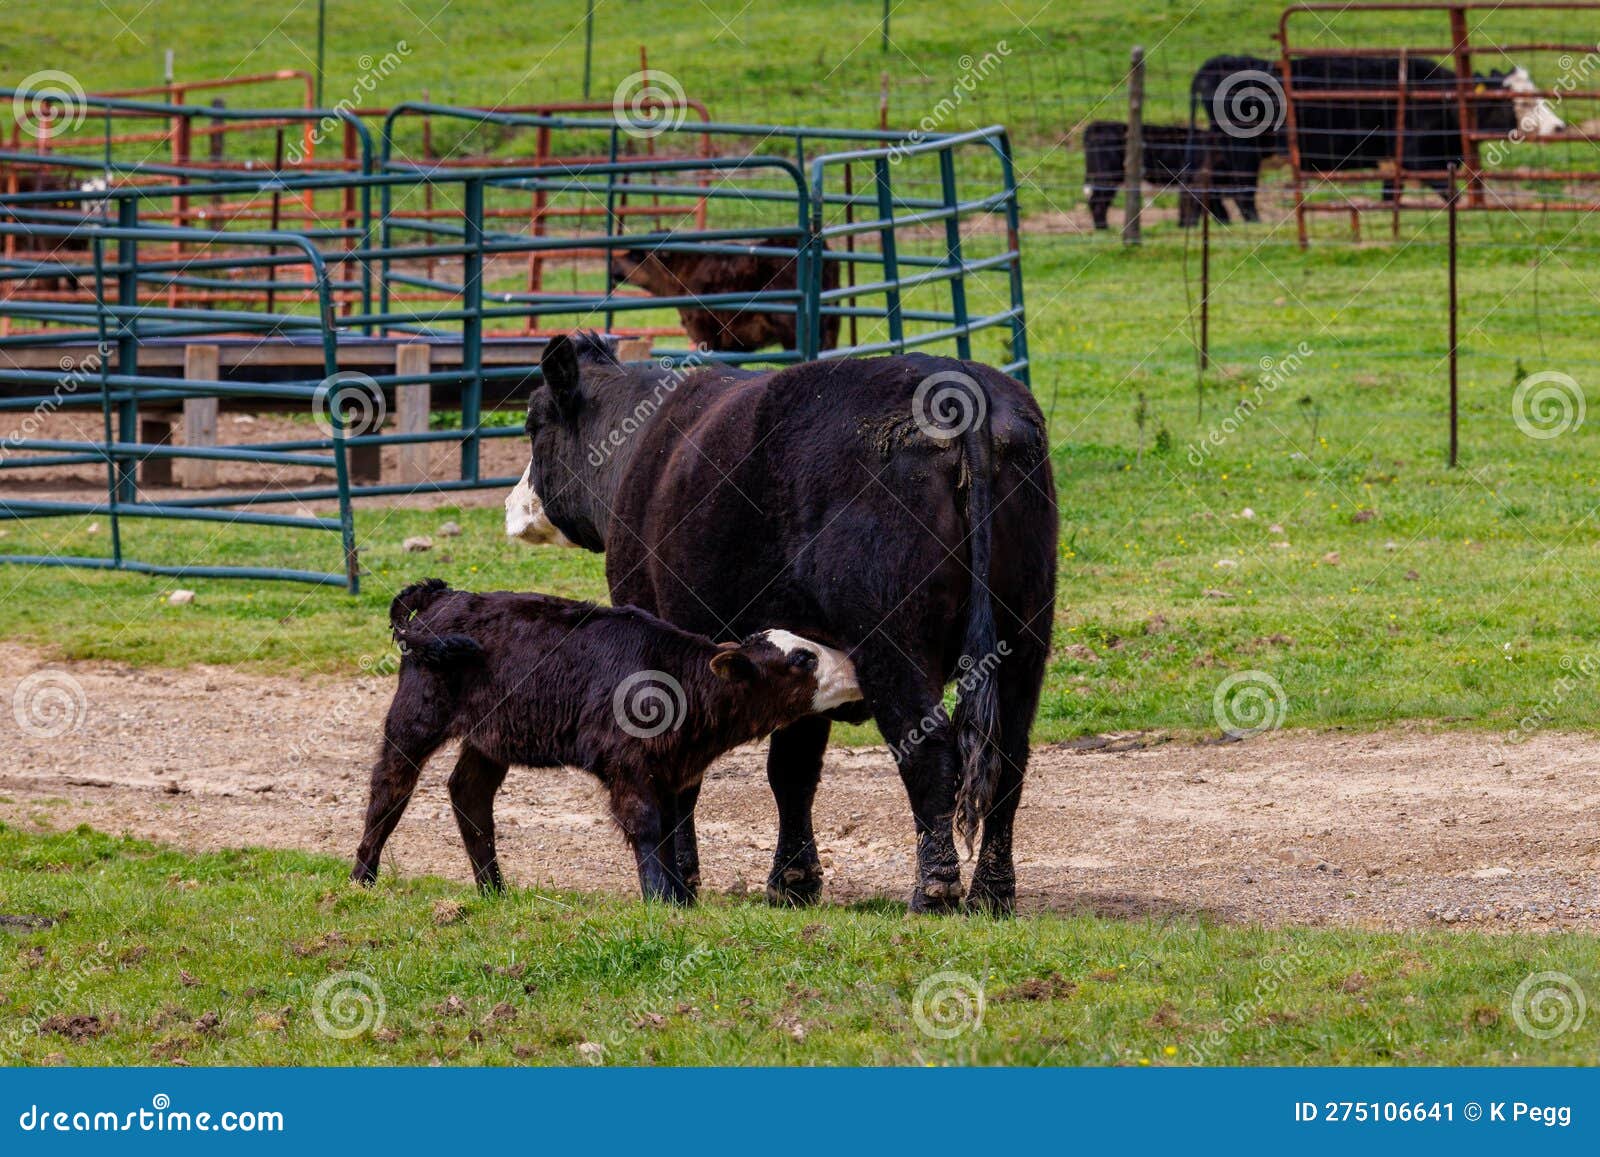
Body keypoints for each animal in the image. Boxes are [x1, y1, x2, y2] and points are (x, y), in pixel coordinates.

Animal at [351, 578, 862, 903]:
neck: (678, 679)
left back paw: (494, 890)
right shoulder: (627, 765)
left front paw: (681, 897)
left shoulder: (670, 772)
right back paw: (362, 878)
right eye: (802, 658)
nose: (853, 663)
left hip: (489, 738)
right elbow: (646, 825)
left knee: (469, 795)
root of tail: (445, 595)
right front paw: (661, 899)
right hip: (416, 716)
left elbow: (671, 828)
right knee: (390, 787)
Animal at [507, 333, 1058, 913]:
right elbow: (793, 770)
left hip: (895, 646)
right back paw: (992, 893)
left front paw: (683, 877)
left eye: (533, 423)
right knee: (1007, 760)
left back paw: (934, 890)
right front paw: (793, 880)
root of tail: (958, 385)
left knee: (929, 753)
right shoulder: (804, 658)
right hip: (1023, 637)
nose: (515, 504)